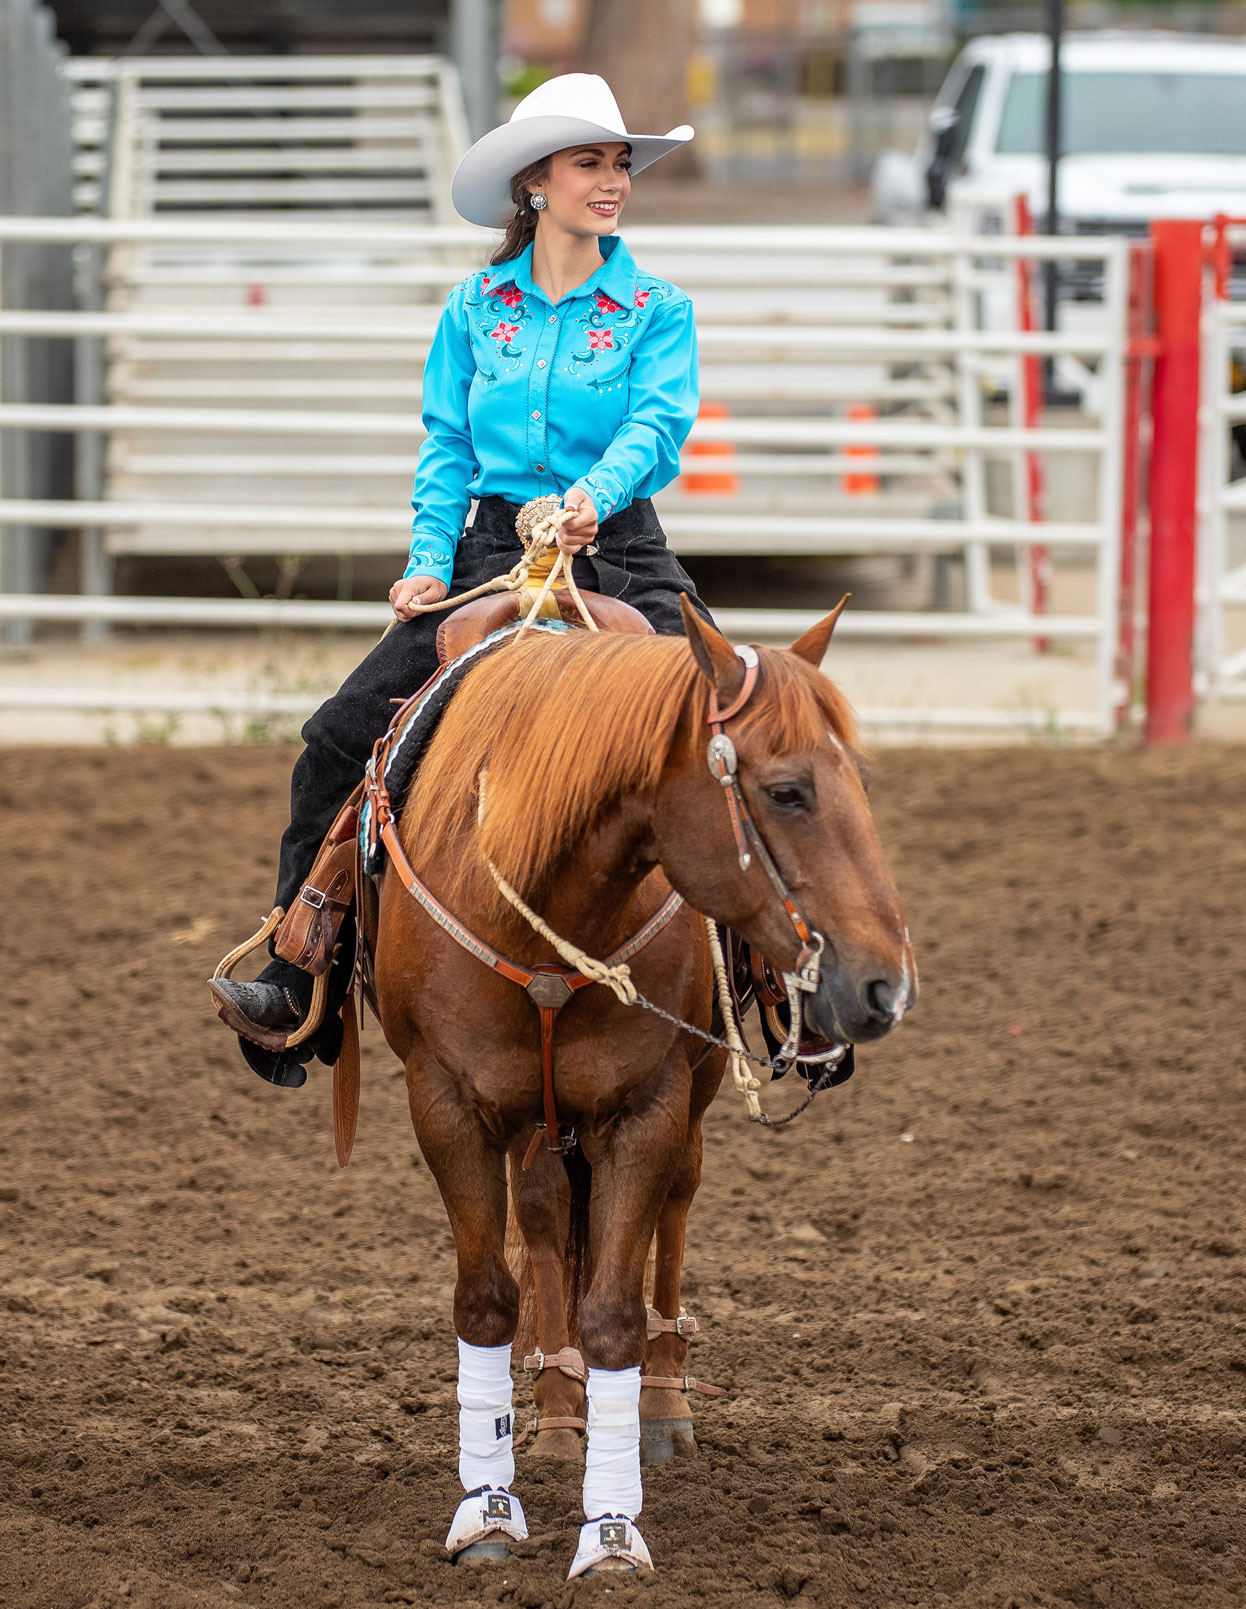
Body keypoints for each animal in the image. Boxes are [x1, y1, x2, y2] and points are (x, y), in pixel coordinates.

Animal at [369, 597, 915, 1577]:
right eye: (786, 790)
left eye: (855, 777)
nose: (887, 985)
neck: (536, 896)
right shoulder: (446, 1103)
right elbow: (486, 1300)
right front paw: (488, 1509)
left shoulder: (643, 1111)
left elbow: (617, 1311)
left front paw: (612, 1529)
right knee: (547, 1218)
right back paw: (554, 1414)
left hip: (687, 1097)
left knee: (674, 1211)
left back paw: (662, 1405)